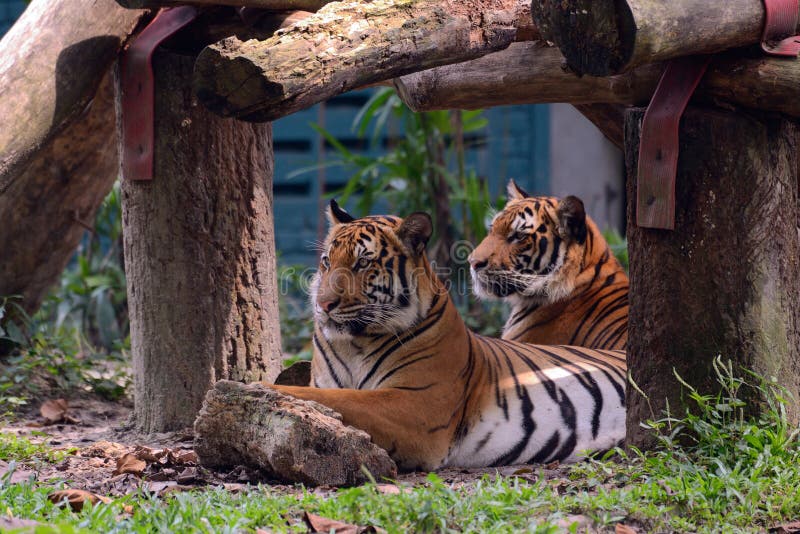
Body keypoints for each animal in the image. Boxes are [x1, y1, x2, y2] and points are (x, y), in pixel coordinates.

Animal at [270, 200, 626, 471]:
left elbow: (333, 398)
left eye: (362, 263)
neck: (354, 343)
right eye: (326, 262)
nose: (323, 304)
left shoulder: (416, 405)